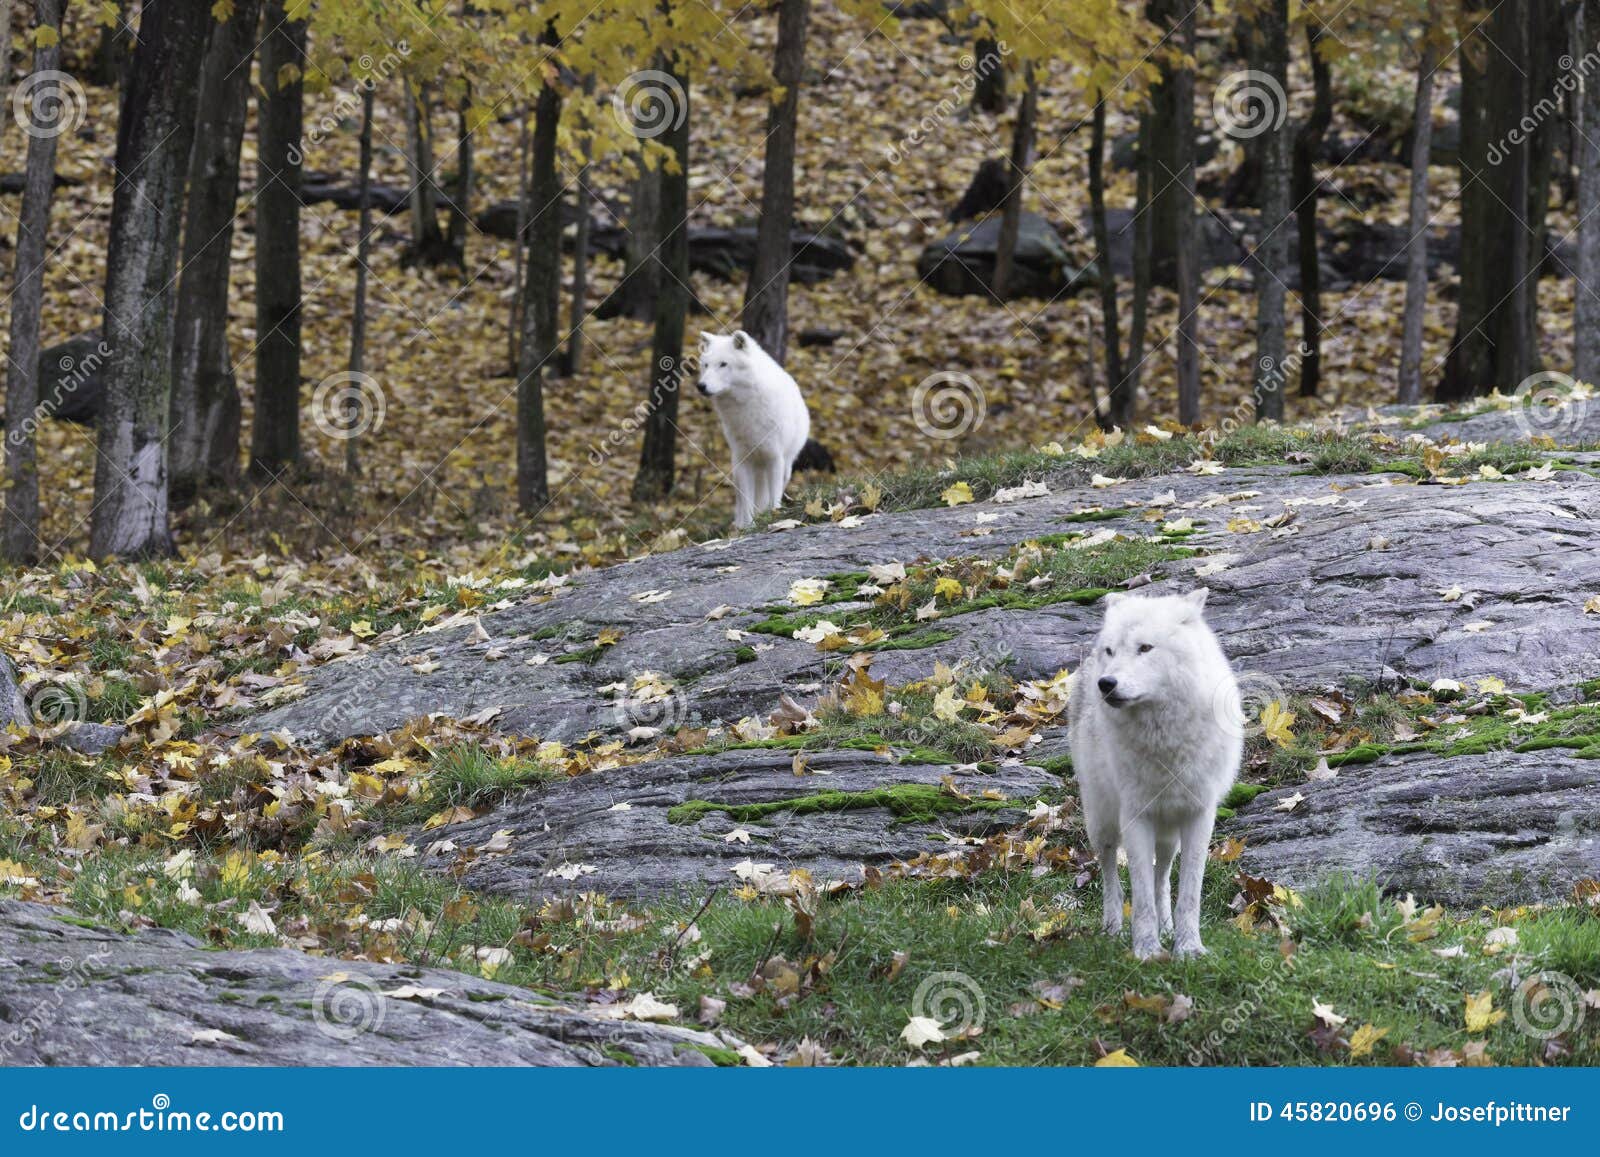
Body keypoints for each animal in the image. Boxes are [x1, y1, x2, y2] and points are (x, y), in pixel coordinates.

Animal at [696, 330, 811, 528]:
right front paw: (748, 526)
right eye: (706, 365)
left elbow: (774, 498)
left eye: (723, 364)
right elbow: (747, 502)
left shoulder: (774, 459)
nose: (701, 386)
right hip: (738, 469)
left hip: (785, 467)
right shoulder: (743, 461)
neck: (746, 407)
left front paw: (773, 517)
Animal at [1068, 588, 1241, 959]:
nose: (1106, 684)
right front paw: (1147, 950)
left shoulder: (1198, 815)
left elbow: (1187, 893)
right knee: (1111, 876)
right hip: (1102, 822)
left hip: (1168, 835)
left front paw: (1188, 948)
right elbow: (1141, 894)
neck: (1165, 740)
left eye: (1145, 648)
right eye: (1111, 651)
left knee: (1162, 875)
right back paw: (1113, 928)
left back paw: (1168, 928)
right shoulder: (1135, 816)